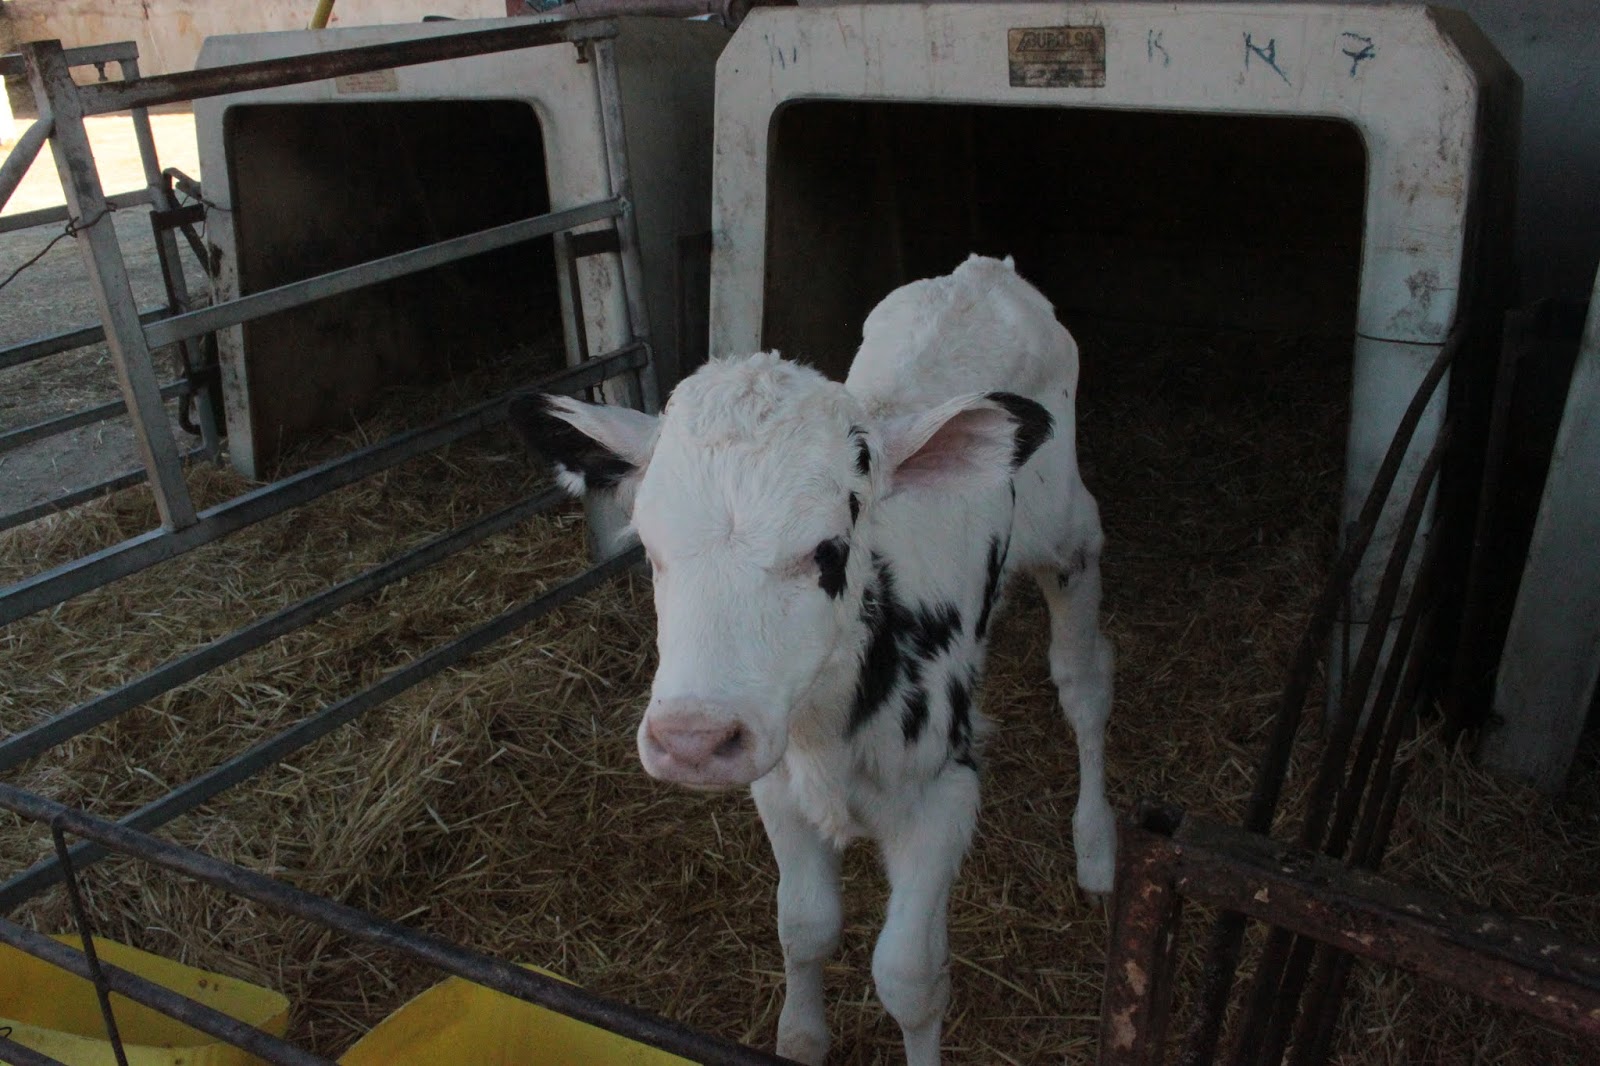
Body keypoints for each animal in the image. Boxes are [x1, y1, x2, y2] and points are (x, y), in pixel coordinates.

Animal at [508, 255, 1114, 1066]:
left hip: (1071, 537)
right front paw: (800, 1035)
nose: (692, 740)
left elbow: (908, 976)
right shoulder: (776, 781)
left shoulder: (943, 794)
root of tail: (983, 271)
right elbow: (803, 926)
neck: (829, 722)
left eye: (827, 550)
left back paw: (1098, 845)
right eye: (650, 547)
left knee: (1084, 686)